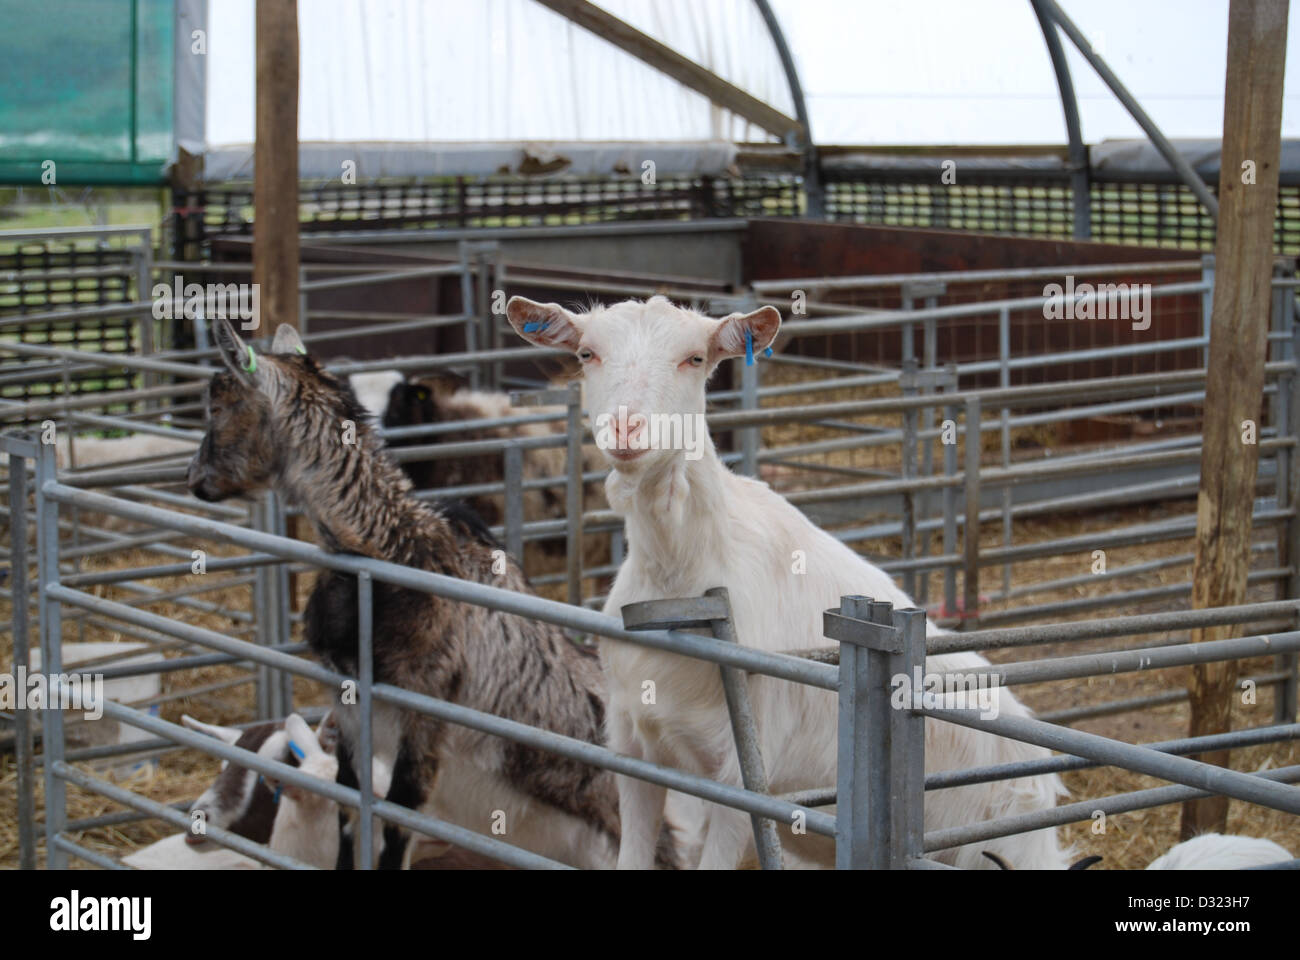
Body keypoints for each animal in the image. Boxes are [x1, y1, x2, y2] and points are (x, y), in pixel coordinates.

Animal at [186, 318, 685, 869]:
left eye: (217, 406)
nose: (194, 480)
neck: (395, 551)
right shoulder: (349, 706)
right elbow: (349, 811)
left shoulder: (425, 715)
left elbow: (398, 821)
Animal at [508, 294, 1070, 870]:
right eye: (587, 353)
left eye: (694, 358)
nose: (626, 429)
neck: (680, 577)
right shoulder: (635, 749)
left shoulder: (746, 776)